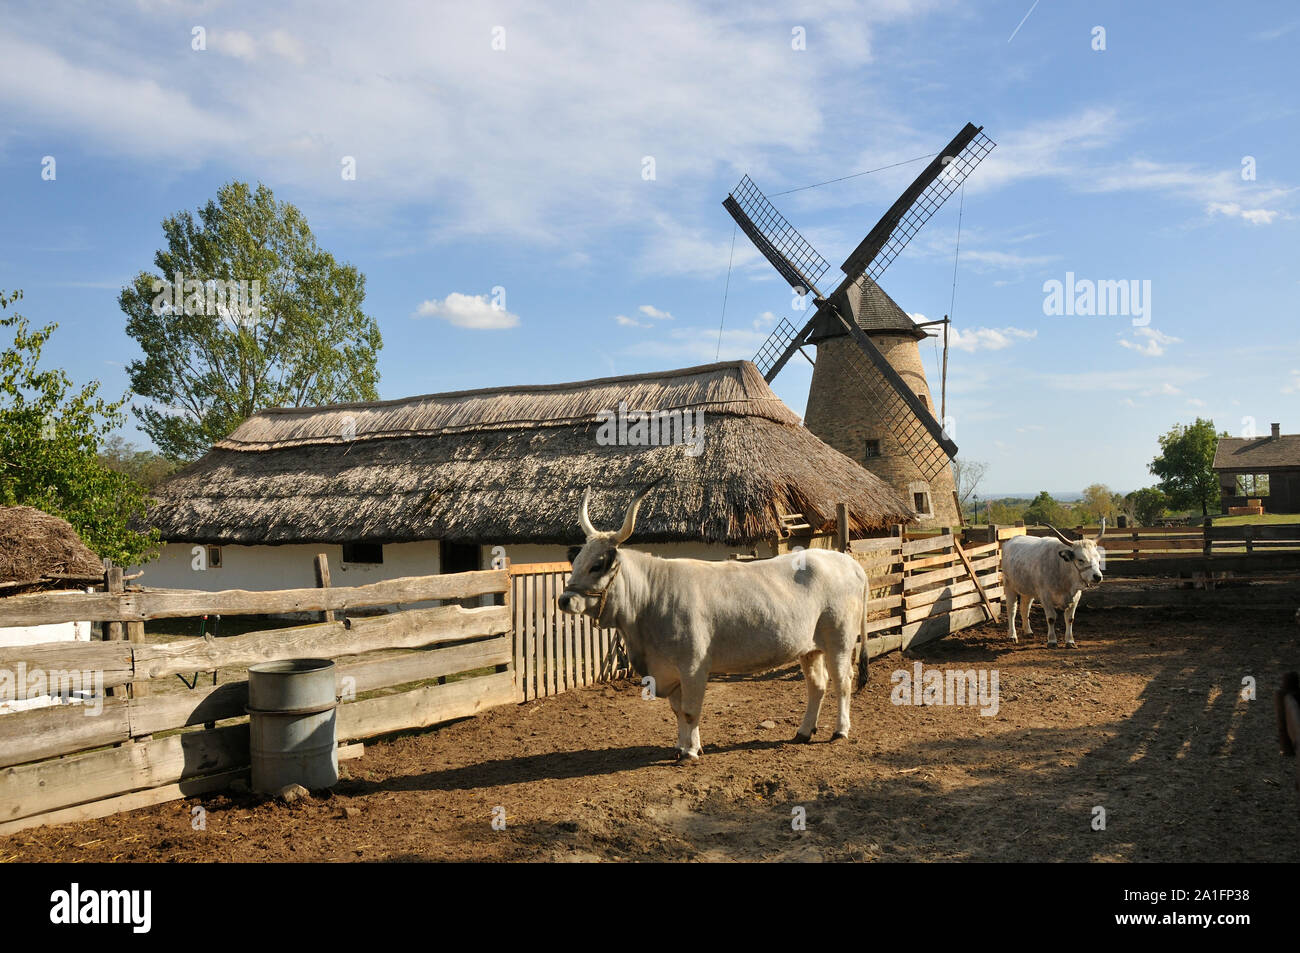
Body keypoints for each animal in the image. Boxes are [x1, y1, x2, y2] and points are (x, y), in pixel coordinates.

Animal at [555, 482, 871, 762]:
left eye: (597, 565)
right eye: (576, 563)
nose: (563, 600)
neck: (652, 598)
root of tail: (848, 562)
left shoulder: (693, 667)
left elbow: (690, 710)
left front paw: (691, 751)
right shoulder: (670, 671)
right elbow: (678, 711)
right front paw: (682, 746)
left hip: (840, 640)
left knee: (843, 681)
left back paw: (840, 730)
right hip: (809, 647)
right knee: (817, 685)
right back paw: (804, 731)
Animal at [1002, 520, 1106, 648]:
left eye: (1099, 559)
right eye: (1081, 559)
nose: (1098, 577)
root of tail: (1010, 541)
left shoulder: (1076, 597)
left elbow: (1070, 619)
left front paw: (1070, 641)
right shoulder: (1045, 597)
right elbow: (1051, 618)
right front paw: (1052, 641)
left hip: (1028, 590)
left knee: (1025, 608)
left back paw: (1028, 631)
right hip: (1009, 586)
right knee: (1011, 610)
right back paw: (1012, 635)